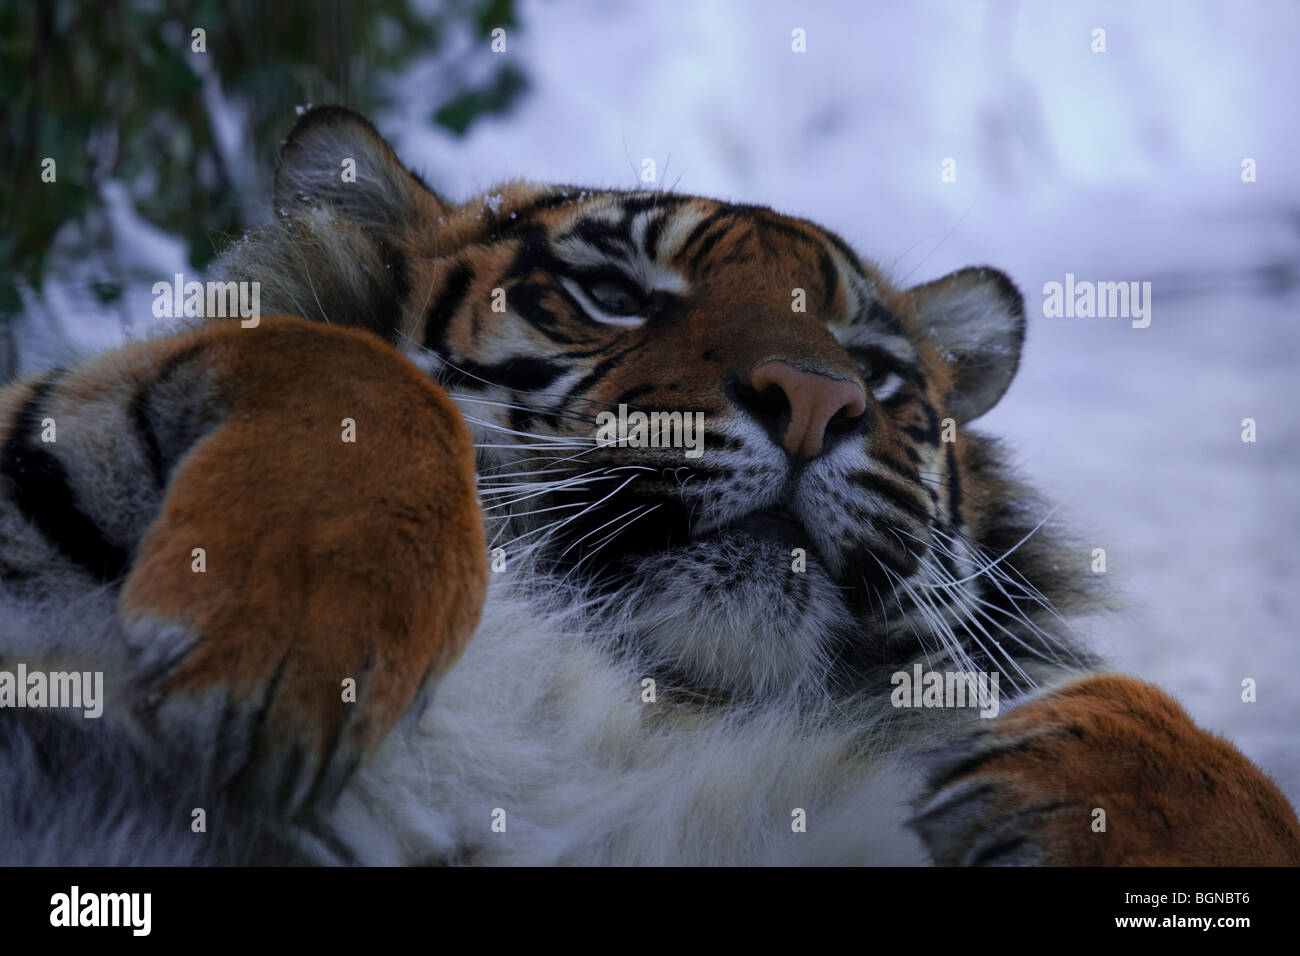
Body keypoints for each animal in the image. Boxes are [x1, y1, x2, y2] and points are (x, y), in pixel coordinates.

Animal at [1, 105, 1297, 866]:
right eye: (616, 295)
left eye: (878, 372)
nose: (818, 399)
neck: (666, 691)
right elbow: (351, 369)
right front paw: (293, 652)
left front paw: (1079, 773)